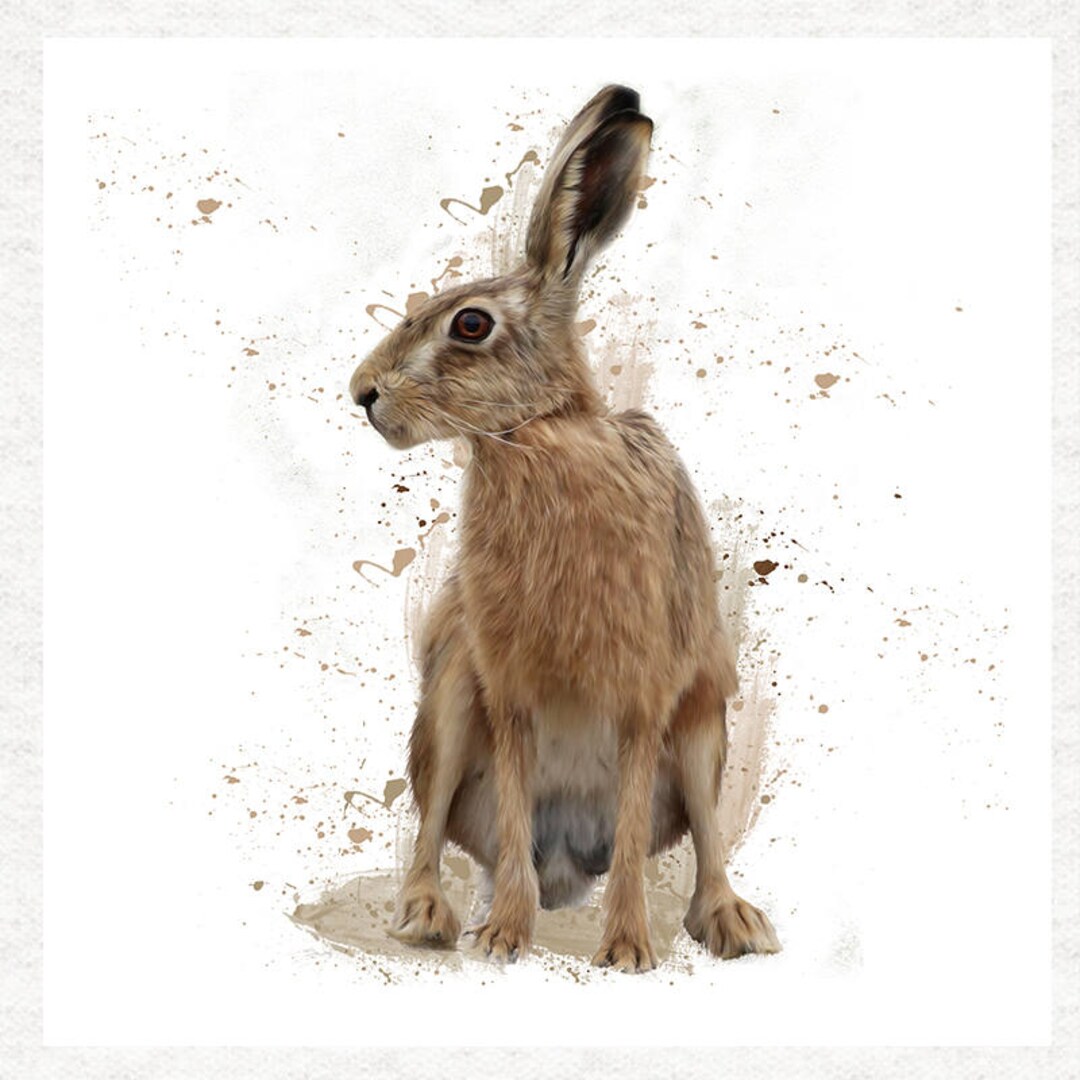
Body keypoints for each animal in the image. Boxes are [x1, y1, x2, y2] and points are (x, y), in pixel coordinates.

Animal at [349, 85, 780, 972]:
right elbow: (514, 811)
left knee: (704, 837)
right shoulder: (508, 688)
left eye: (470, 325)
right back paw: (429, 916)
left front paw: (628, 951)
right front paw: (503, 939)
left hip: (703, 724)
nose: (361, 393)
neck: (538, 438)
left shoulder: (647, 691)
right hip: (450, 697)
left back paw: (732, 922)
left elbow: (631, 827)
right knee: (435, 821)